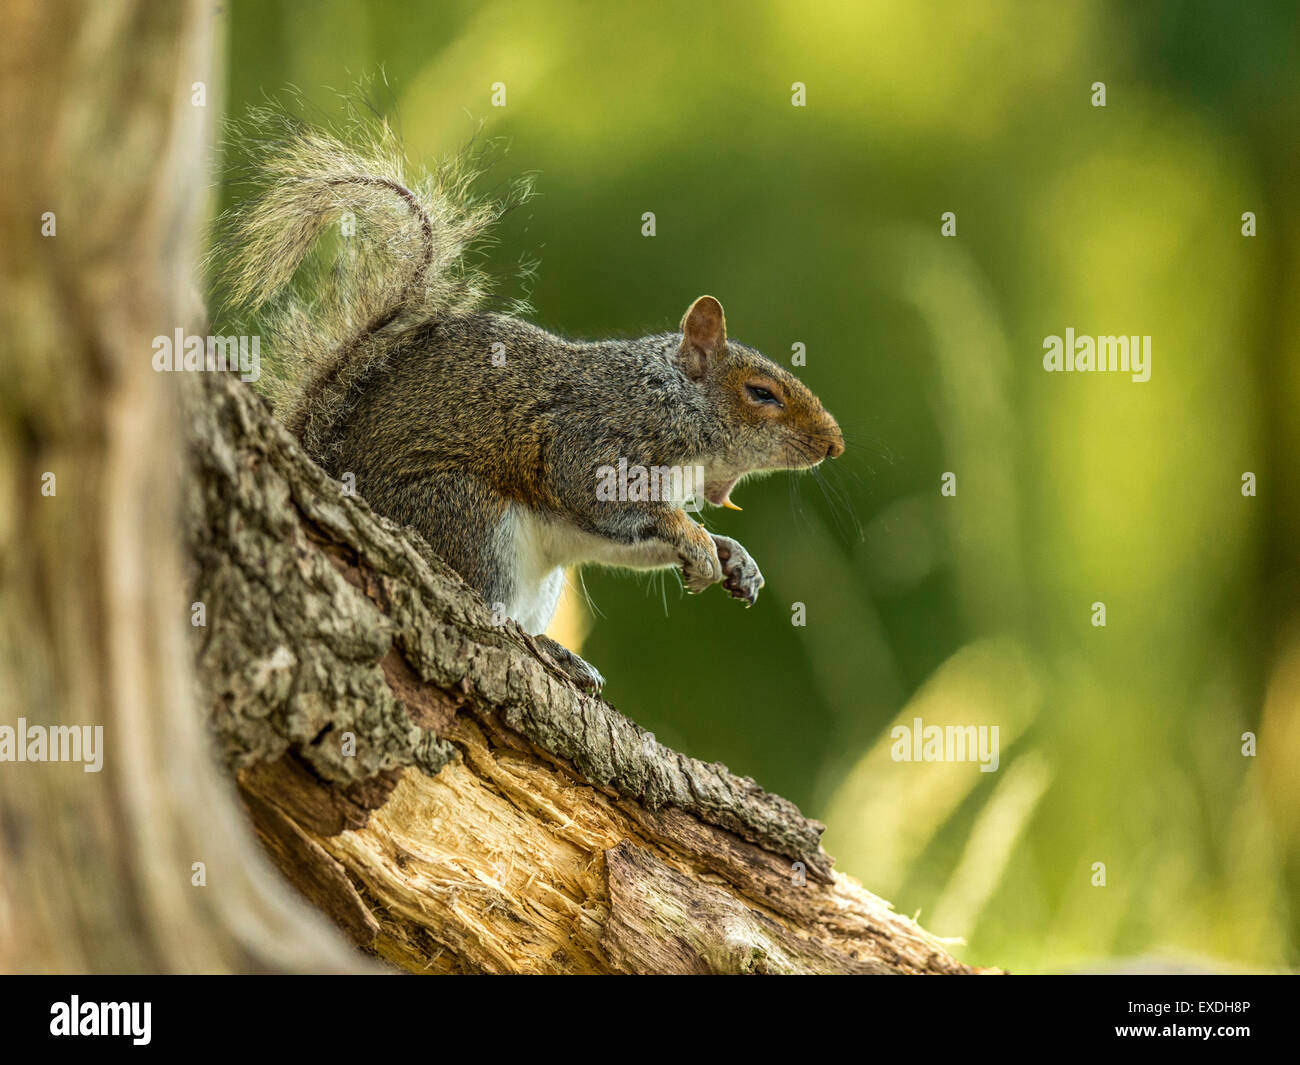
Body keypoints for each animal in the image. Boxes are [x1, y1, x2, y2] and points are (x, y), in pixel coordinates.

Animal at [214, 112, 844, 694]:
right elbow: (604, 497)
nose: (834, 445)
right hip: (467, 518)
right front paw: (696, 538)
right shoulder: (593, 438)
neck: (663, 398)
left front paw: (736, 558)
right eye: (760, 394)